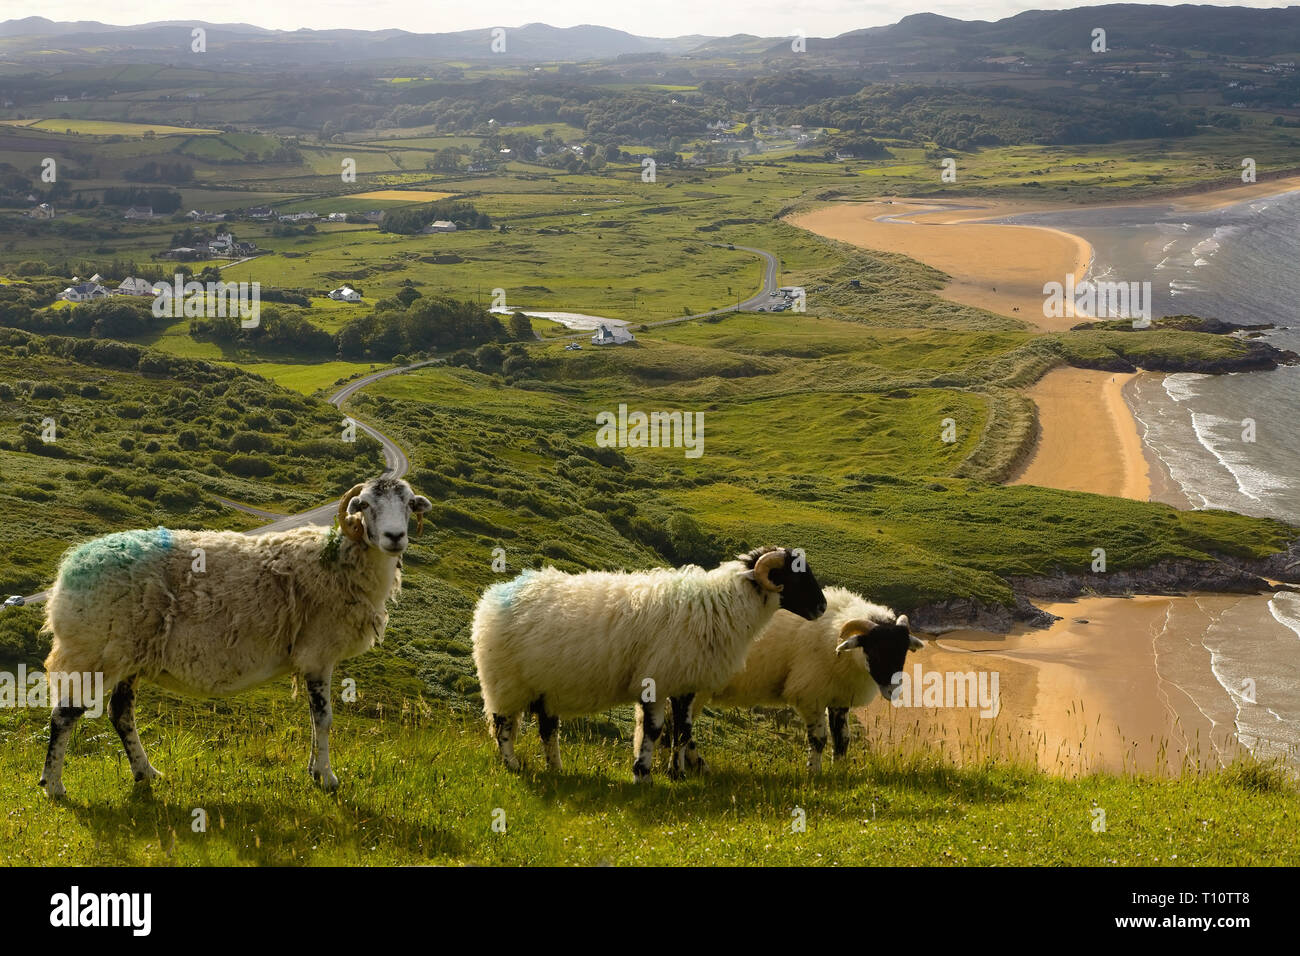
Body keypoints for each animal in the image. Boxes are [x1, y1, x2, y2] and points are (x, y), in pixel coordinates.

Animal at [38, 476, 432, 797]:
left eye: (409, 503)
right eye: (364, 504)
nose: (395, 537)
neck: (340, 561)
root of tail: (69, 569)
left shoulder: (312, 659)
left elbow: (311, 718)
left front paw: (313, 771)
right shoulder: (318, 654)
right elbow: (323, 718)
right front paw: (327, 778)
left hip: (128, 655)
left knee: (120, 713)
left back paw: (145, 772)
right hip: (93, 650)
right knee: (65, 715)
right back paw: (54, 786)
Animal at [471, 546, 827, 782]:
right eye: (795, 574)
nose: (822, 607)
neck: (721, 605)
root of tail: (494, 596)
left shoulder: (685, 682)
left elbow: (682, 731)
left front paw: (677, 773)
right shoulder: (657, 679)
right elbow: (654, 731)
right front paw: (642, 774)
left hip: (545, 688)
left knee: (547, 730)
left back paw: (557, 769)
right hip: (505, 681)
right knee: (502, 726)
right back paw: (512, 765)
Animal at [698, 586, 924, 772]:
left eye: (903, 652)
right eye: (875, 650)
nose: (893, 690)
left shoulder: (839, 698)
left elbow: (842, 740)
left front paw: (840, 773)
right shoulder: (810, 696)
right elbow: (819, 739)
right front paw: (814, 773)